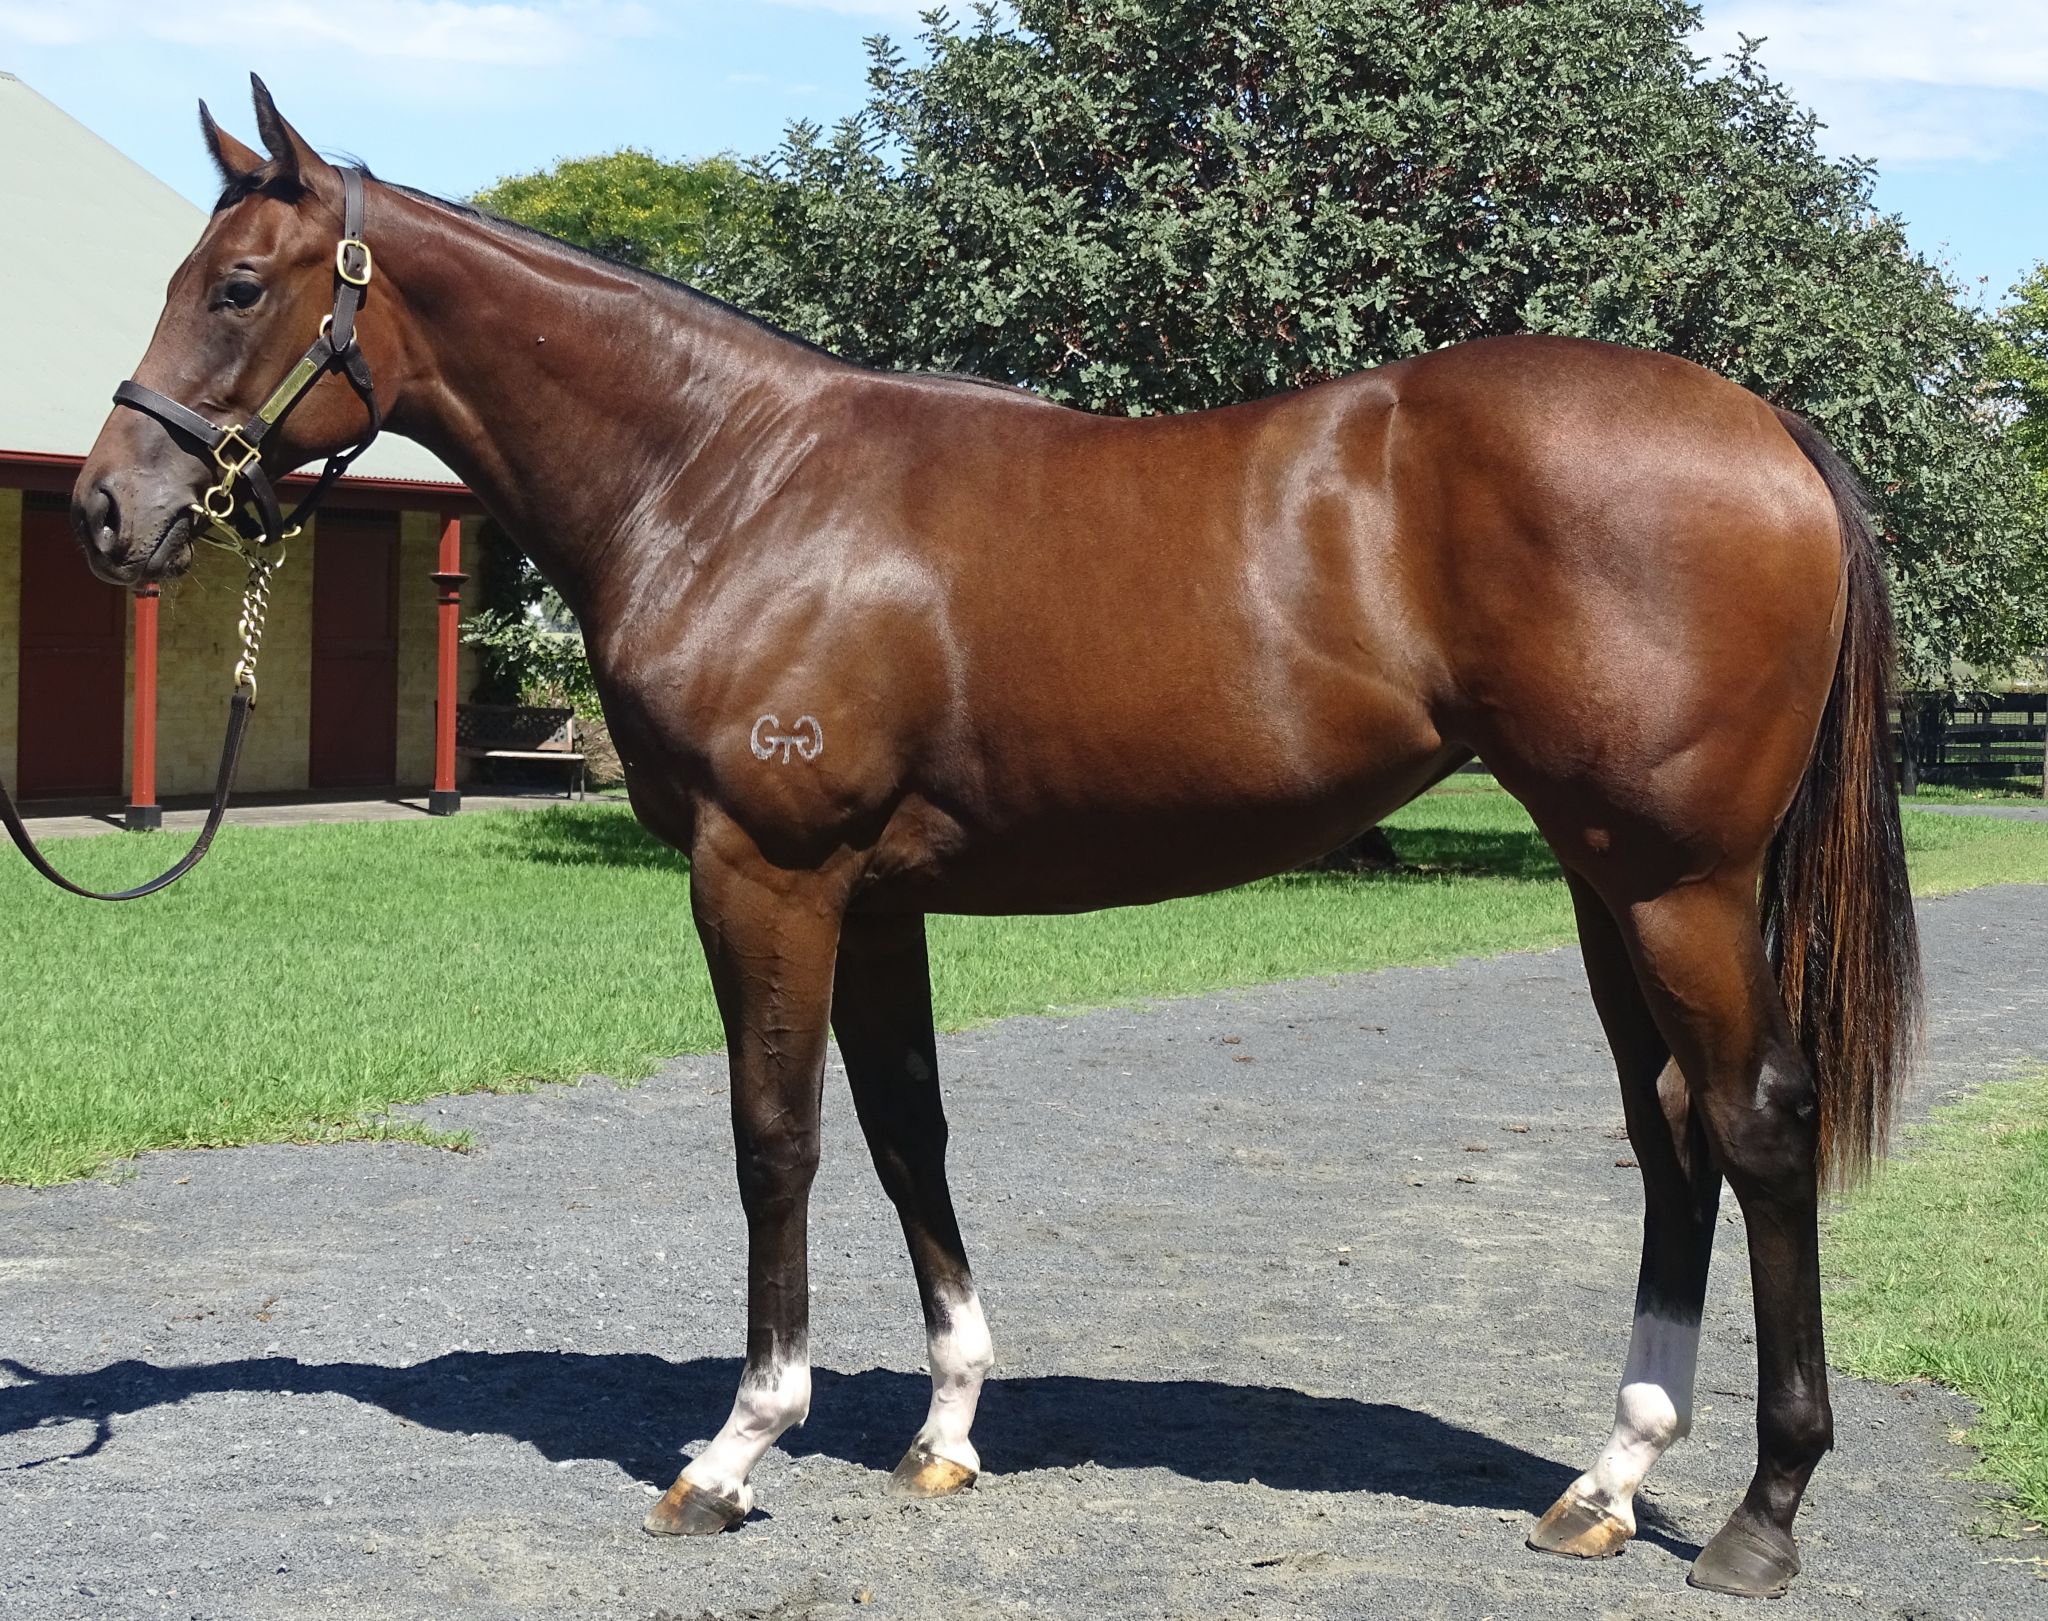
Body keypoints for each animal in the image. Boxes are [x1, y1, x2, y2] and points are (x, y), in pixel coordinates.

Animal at [72, 80, 1919, 1601]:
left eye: (238, 288)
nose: (108, 508)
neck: (734, 478)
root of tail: (1760, 427)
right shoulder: (874, 897)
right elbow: (909, 1136)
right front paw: (946, 1427)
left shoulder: (765, 873)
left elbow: (775, 1143)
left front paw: (733, 1450)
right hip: (1606, 878)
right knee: (1669, 1136)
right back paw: (1603, 1482)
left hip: (1679, 882)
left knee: (1754, 1126)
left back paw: (1758, 1516)